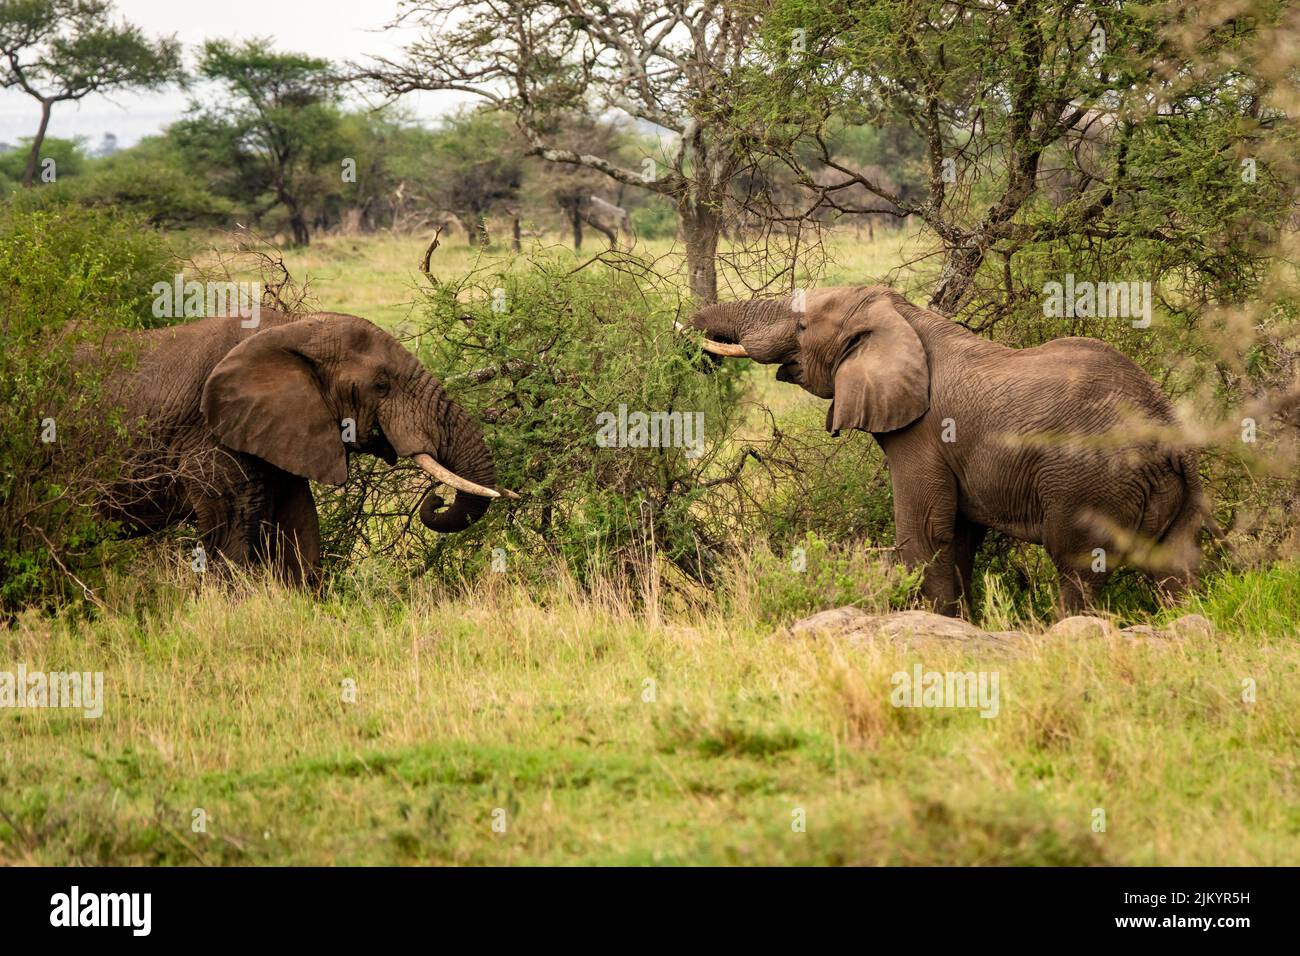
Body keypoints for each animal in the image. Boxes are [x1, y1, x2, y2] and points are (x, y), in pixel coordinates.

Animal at [84, 308, 500, 584]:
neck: (291, 328)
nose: (436, 499)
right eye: (382, 386)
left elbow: (300, 527)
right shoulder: (211, 436)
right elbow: (232, 535)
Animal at [682, 285, 1210, 616]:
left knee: (1078, 568)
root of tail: (1168, 431)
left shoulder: (923, 433)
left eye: (800, 326)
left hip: (1091, 482)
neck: (903, 316)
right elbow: (959, 537)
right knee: (1176, 567)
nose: (688, 342)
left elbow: (927, 531)